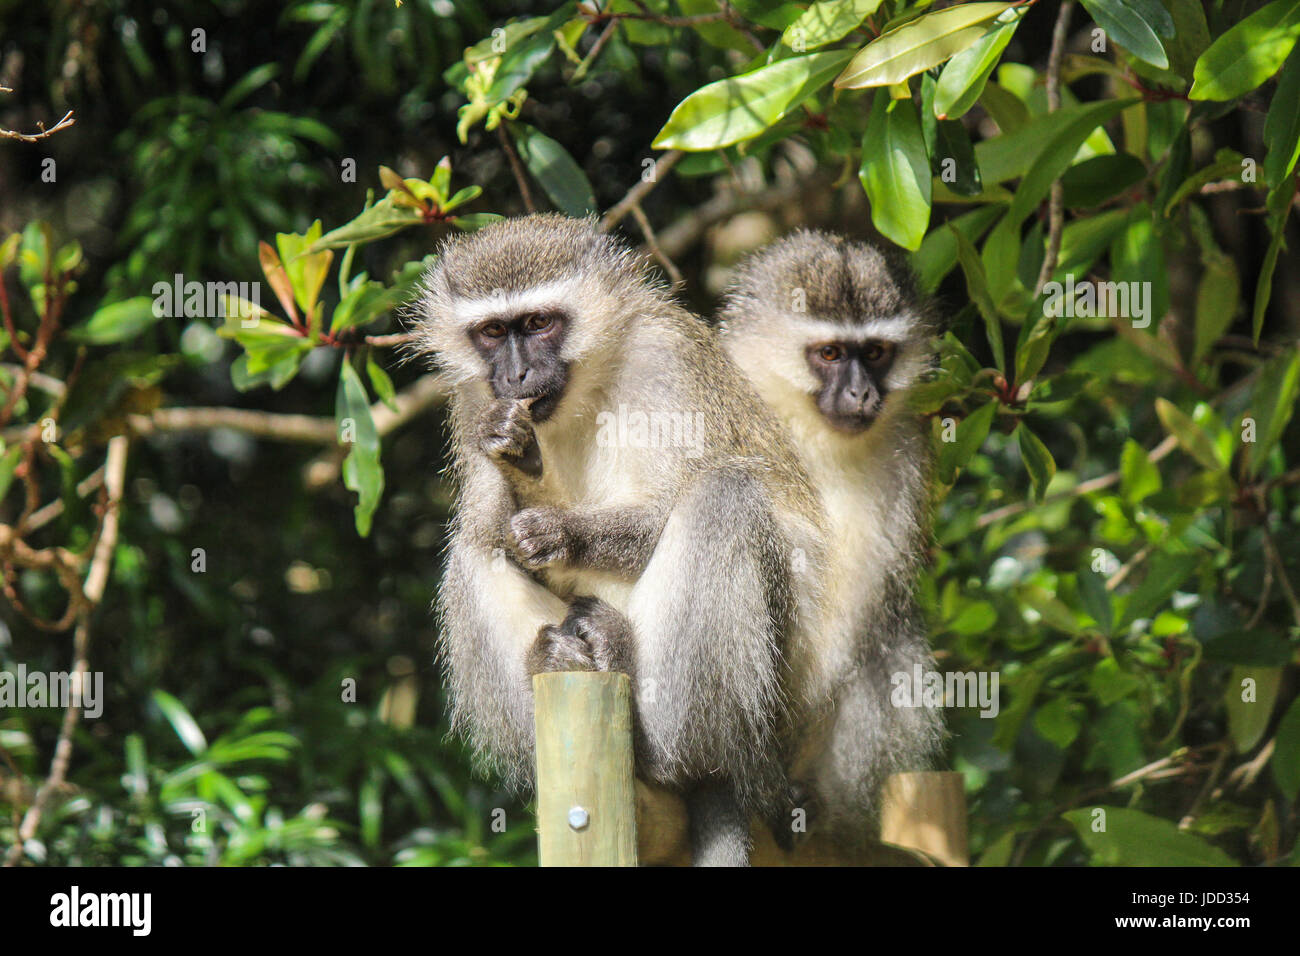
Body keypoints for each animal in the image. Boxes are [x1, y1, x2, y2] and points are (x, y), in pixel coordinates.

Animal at [410, 214, 829, 866]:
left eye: (539, 323)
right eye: (492, 332)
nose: (516, 375)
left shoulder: (666, 358)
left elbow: (665, 510)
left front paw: (557, 529)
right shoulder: (473, 398)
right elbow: (487, 531)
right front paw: (512, 459)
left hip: (768, 706)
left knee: (724, 494)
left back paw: (653, 725)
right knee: (471, 553)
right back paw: (555, 661)